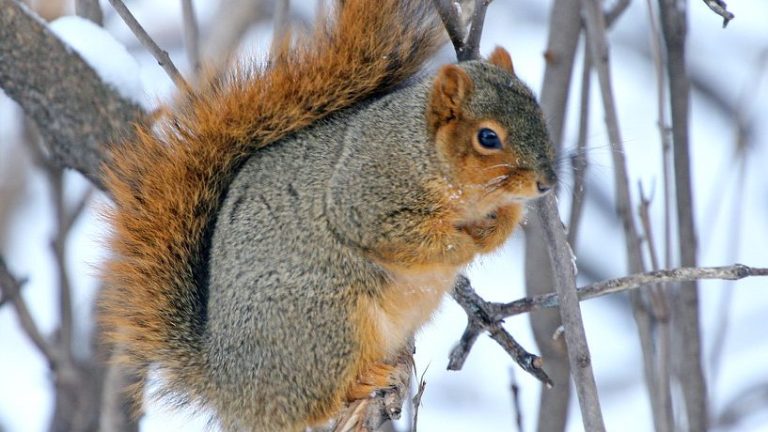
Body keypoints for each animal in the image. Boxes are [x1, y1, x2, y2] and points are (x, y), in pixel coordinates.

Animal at [100, 0, 556, 430]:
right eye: (487, 137)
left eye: (540, 111)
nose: (548, 183)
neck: (427, 154)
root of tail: (227, 384)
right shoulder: (364, 198)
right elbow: (404, 237)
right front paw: (462, 244)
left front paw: (494, 230)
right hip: (328, 322)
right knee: (317, 402)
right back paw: (364, 380)